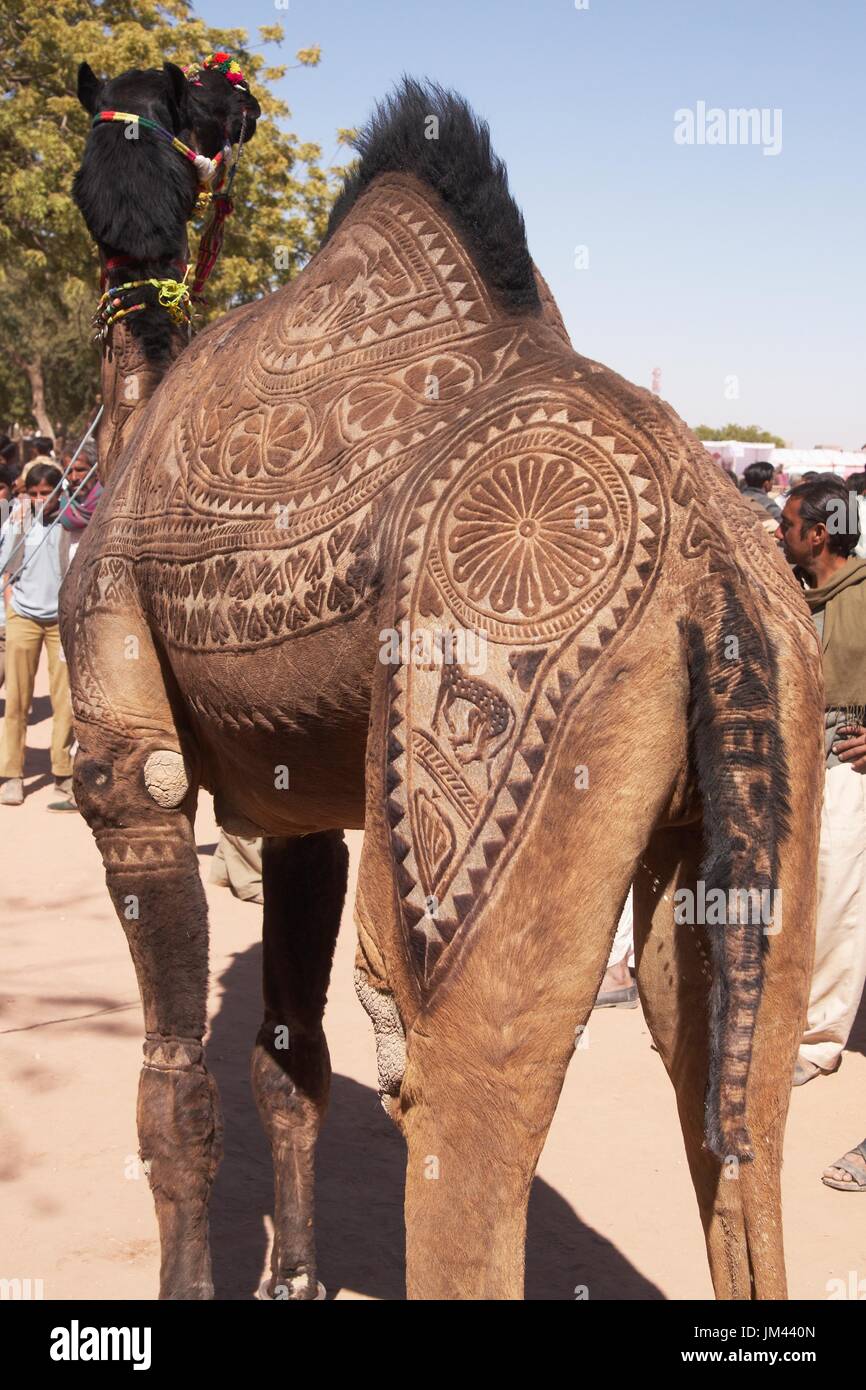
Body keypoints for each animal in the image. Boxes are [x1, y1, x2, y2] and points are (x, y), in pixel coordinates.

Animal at [63, 71, 824, 1300]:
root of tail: (716, 564)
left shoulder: (121, 738)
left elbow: (174, 1090)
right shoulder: (299, 801)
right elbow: (289, 1065)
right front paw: (294, 1275)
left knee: (454, 1101)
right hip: (766, 769)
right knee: (732, 1094)